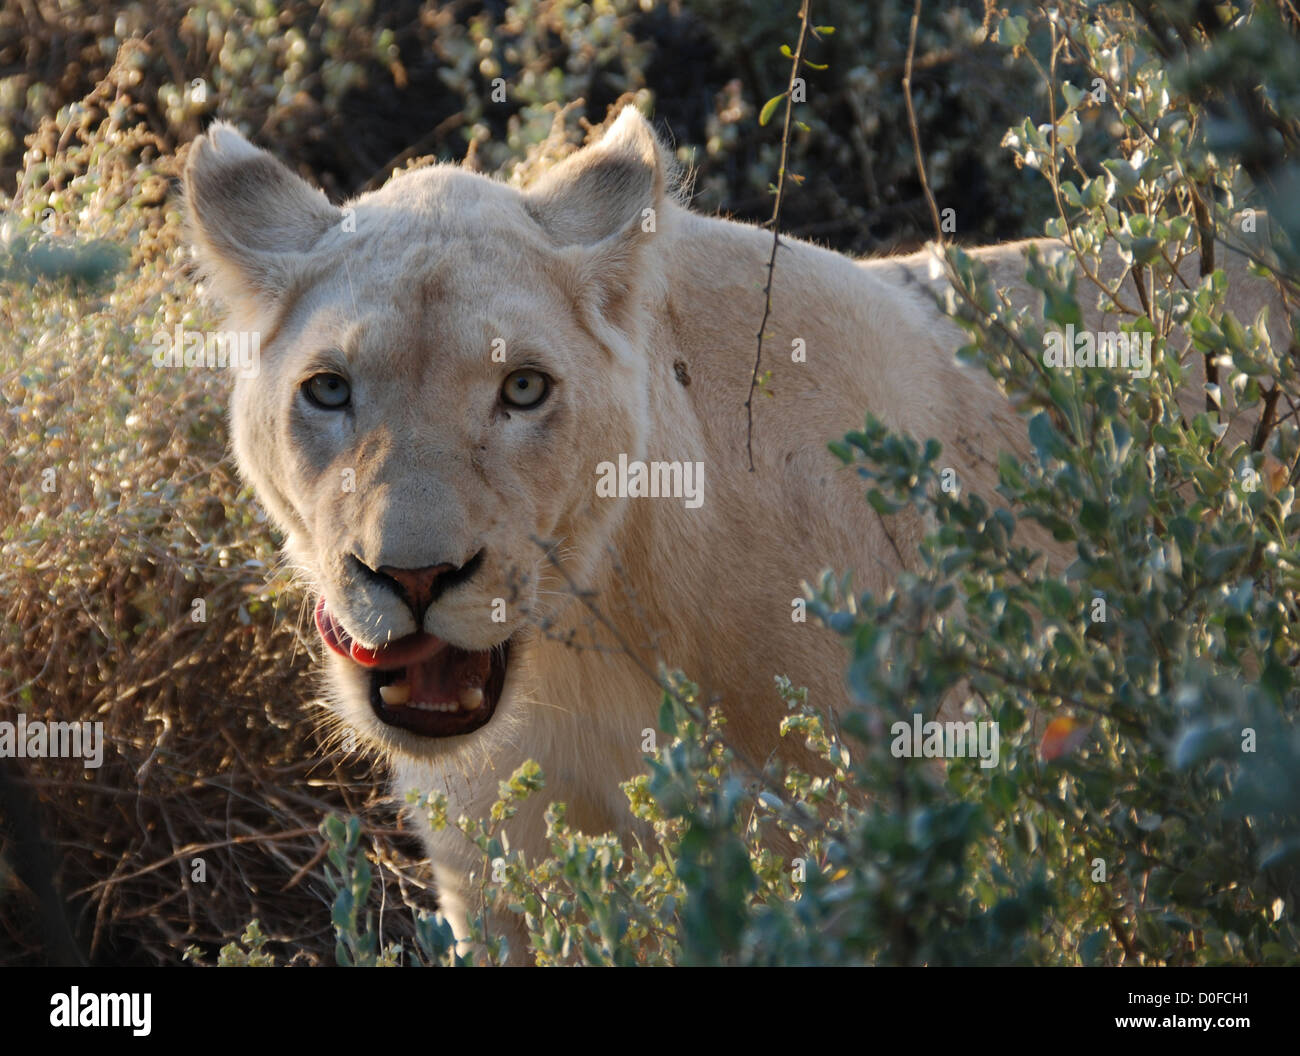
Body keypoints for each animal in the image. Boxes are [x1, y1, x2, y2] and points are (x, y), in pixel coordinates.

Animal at [184, 105, 1284, 958]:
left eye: (523, 389)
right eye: (329, 390)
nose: (411, 577)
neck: (586, 654)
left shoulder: (844, 843)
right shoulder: (492, 875)